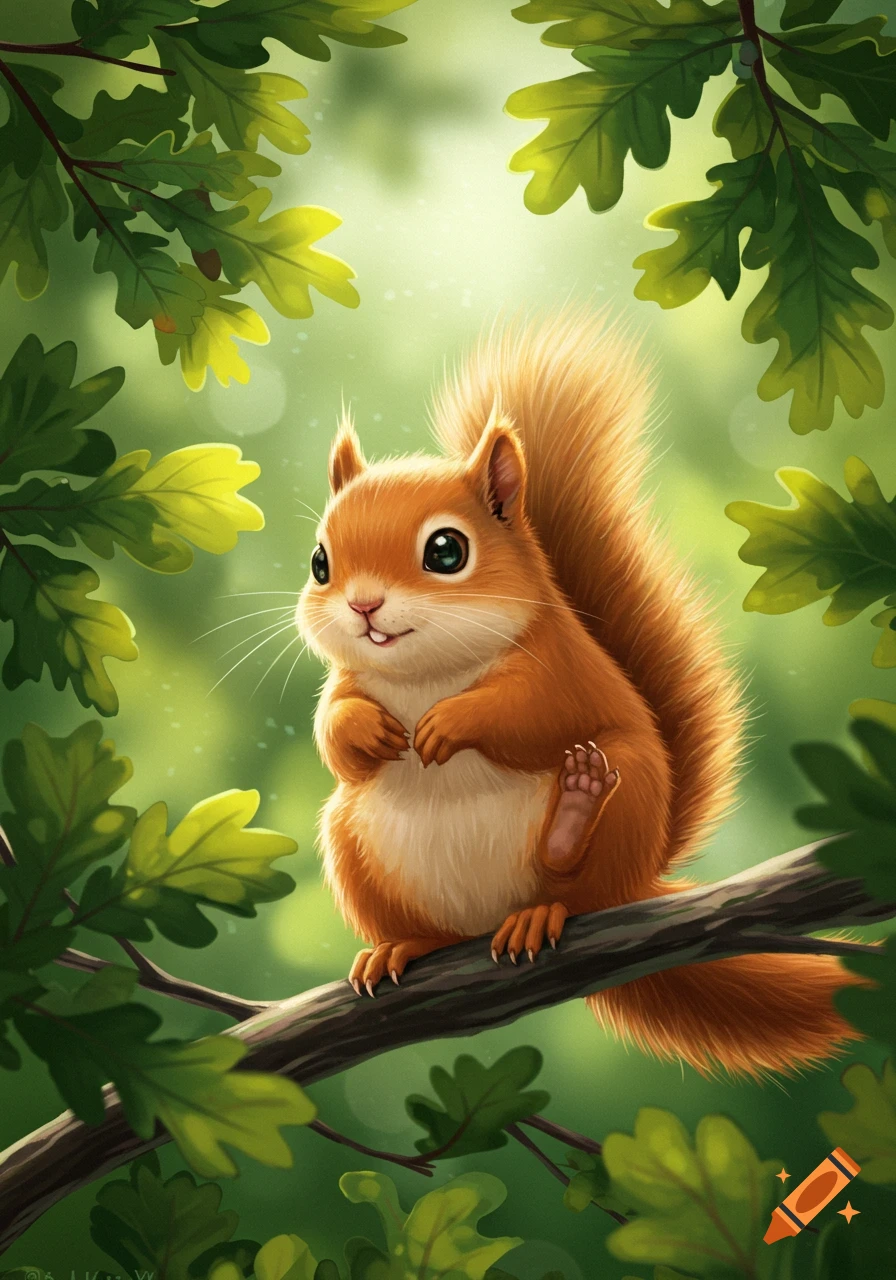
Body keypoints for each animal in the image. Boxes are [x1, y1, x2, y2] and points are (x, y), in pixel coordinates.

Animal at [297, 310, 859, 1077]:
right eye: (320, 562)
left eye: (446, 551)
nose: (363, 607)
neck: (425, 673)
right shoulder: (348, 681)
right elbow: (332, 729)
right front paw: (367, 732)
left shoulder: (559, 662)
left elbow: (532, 713)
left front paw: (451, 723)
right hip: (352, 838)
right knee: (423, 920)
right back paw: (401, 946)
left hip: (629, 792)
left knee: (580, 888)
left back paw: (565, 843)